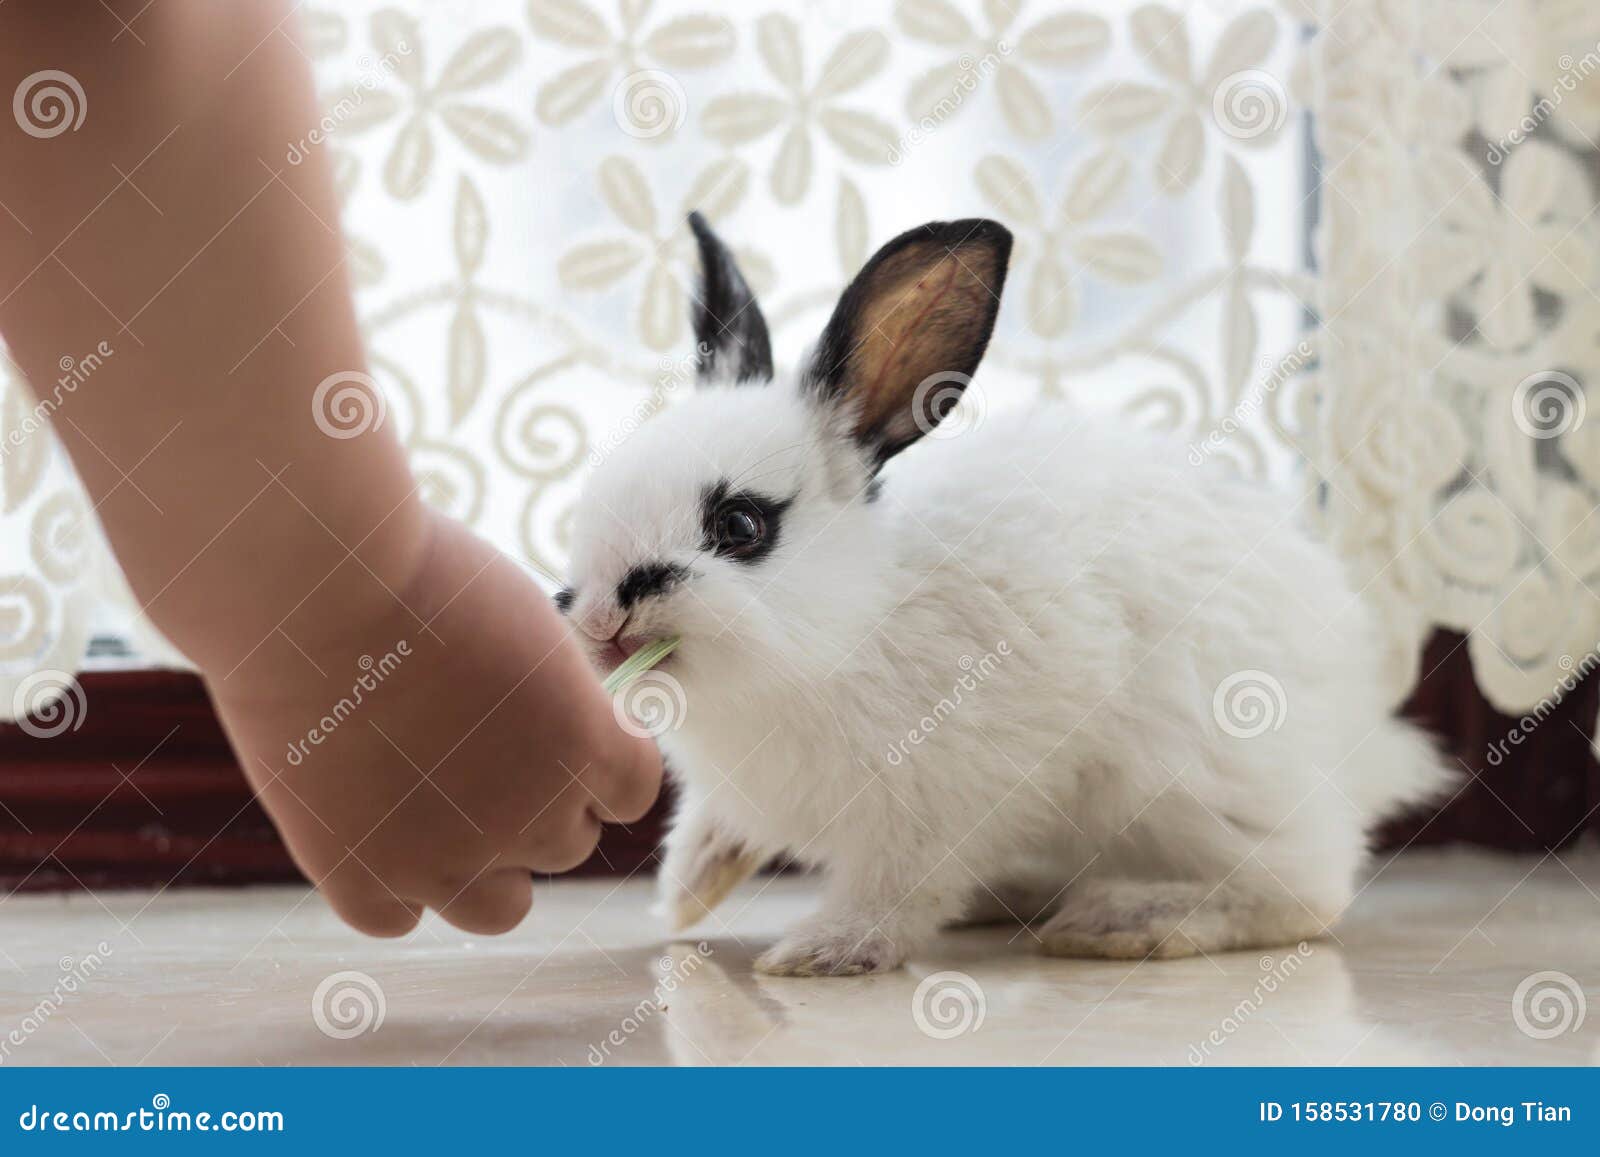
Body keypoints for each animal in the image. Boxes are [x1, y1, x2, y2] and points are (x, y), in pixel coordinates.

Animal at [556, 211, 1448, 976]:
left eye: (740, 524)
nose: (598, 615)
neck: (850, 626)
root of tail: (1359, 736)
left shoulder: (939, 803)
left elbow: (897, 887)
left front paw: (826, 949)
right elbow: (711, 826)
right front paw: (685, 896)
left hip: (1193, 782)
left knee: (1307, 891)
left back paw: (1127, 920)